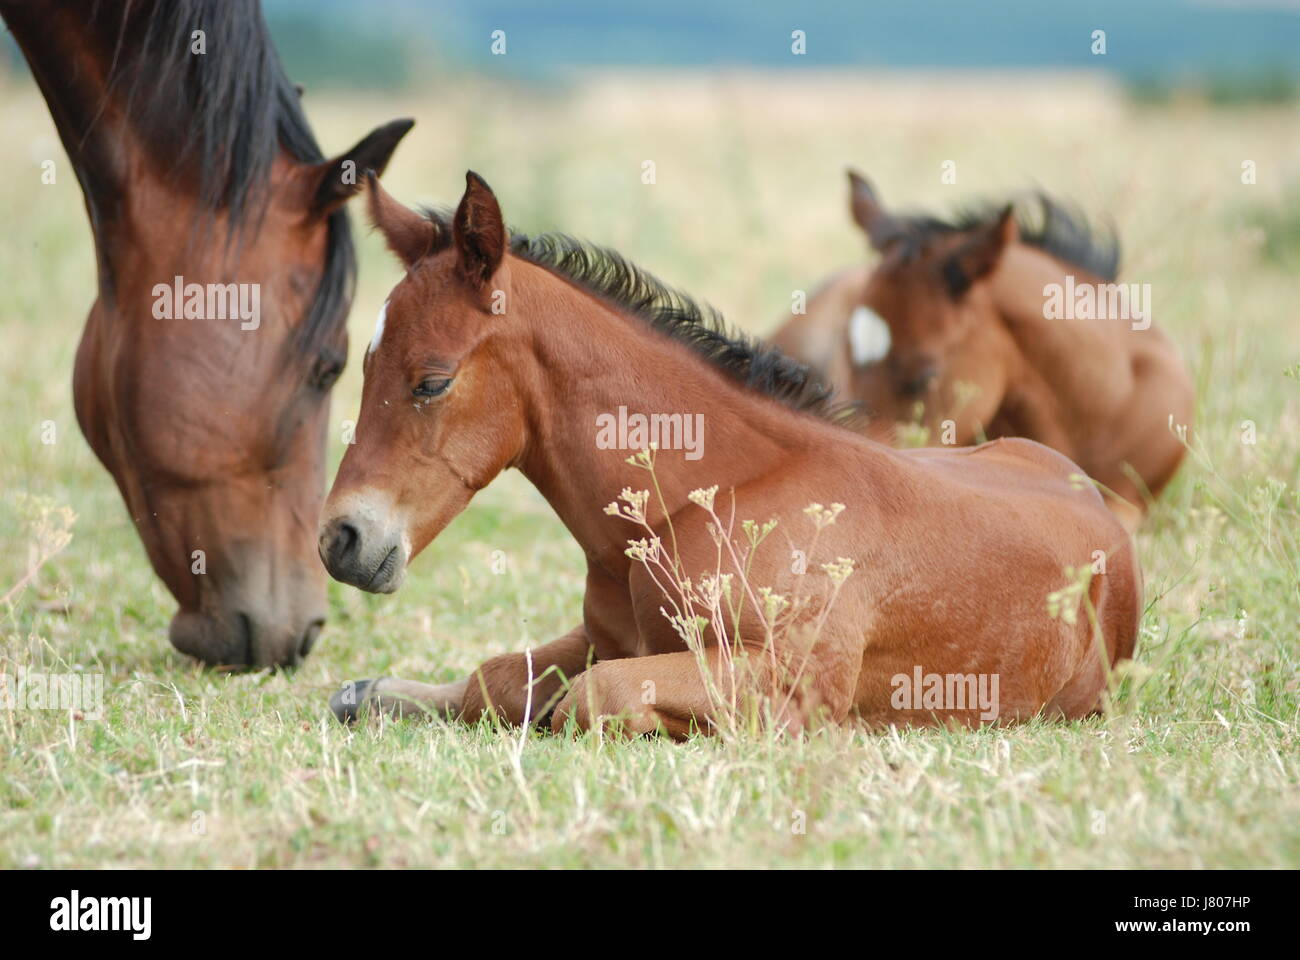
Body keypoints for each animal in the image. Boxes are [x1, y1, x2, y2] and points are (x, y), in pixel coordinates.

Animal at [316, 171, 1141, 739]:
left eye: (432, 380)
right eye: (361, 365)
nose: (340, 540)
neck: (694, 502)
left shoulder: (794, 683)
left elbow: (595, 696)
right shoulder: (605, 636)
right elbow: (497, 677)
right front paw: (376, 693)